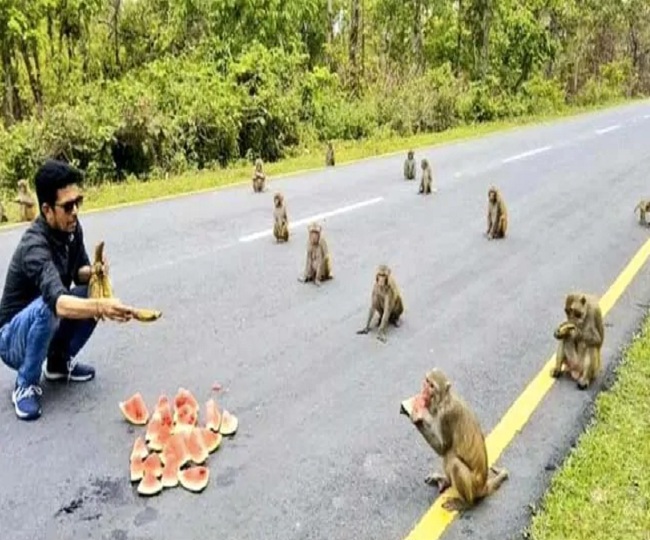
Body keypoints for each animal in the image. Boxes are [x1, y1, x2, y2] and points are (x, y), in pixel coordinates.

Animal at [401, 368, 508, 512]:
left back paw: (466, 503)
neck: (443, 401)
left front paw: (417, 417)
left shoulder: (447, 416)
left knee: (452, 459)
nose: (424, 390)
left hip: (473, 487)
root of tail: (483, 487)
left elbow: (443, 448)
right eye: (427, 381)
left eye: (432, 386)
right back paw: (446, 481)